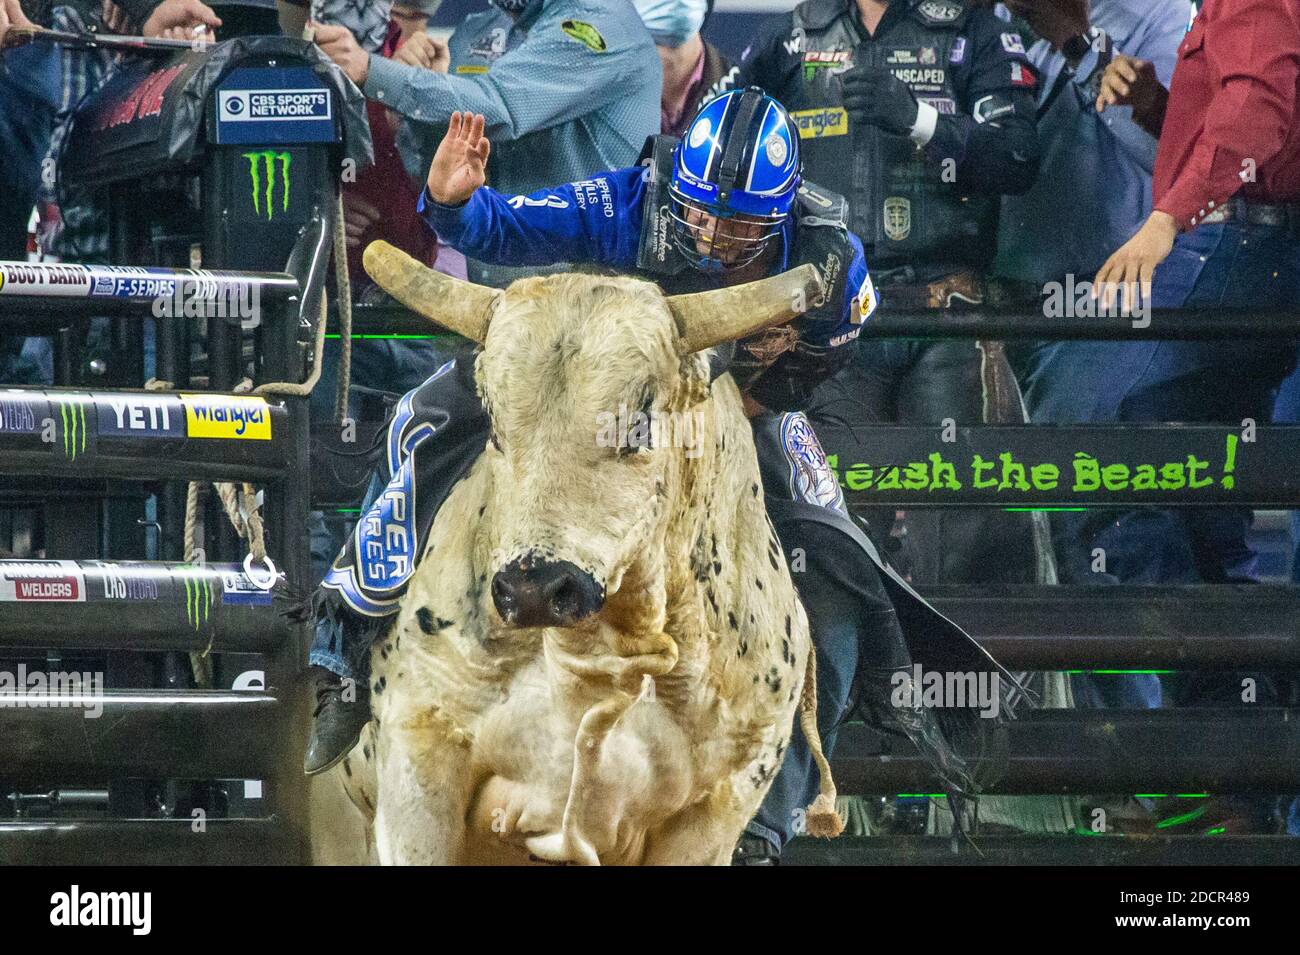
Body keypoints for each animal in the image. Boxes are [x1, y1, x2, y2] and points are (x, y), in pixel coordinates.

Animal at [310, 241, 841, 865]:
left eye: (638, 422)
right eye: (494, 424)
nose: (534, 589)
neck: (605, 651)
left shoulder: (718, 808)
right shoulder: (419, 750)